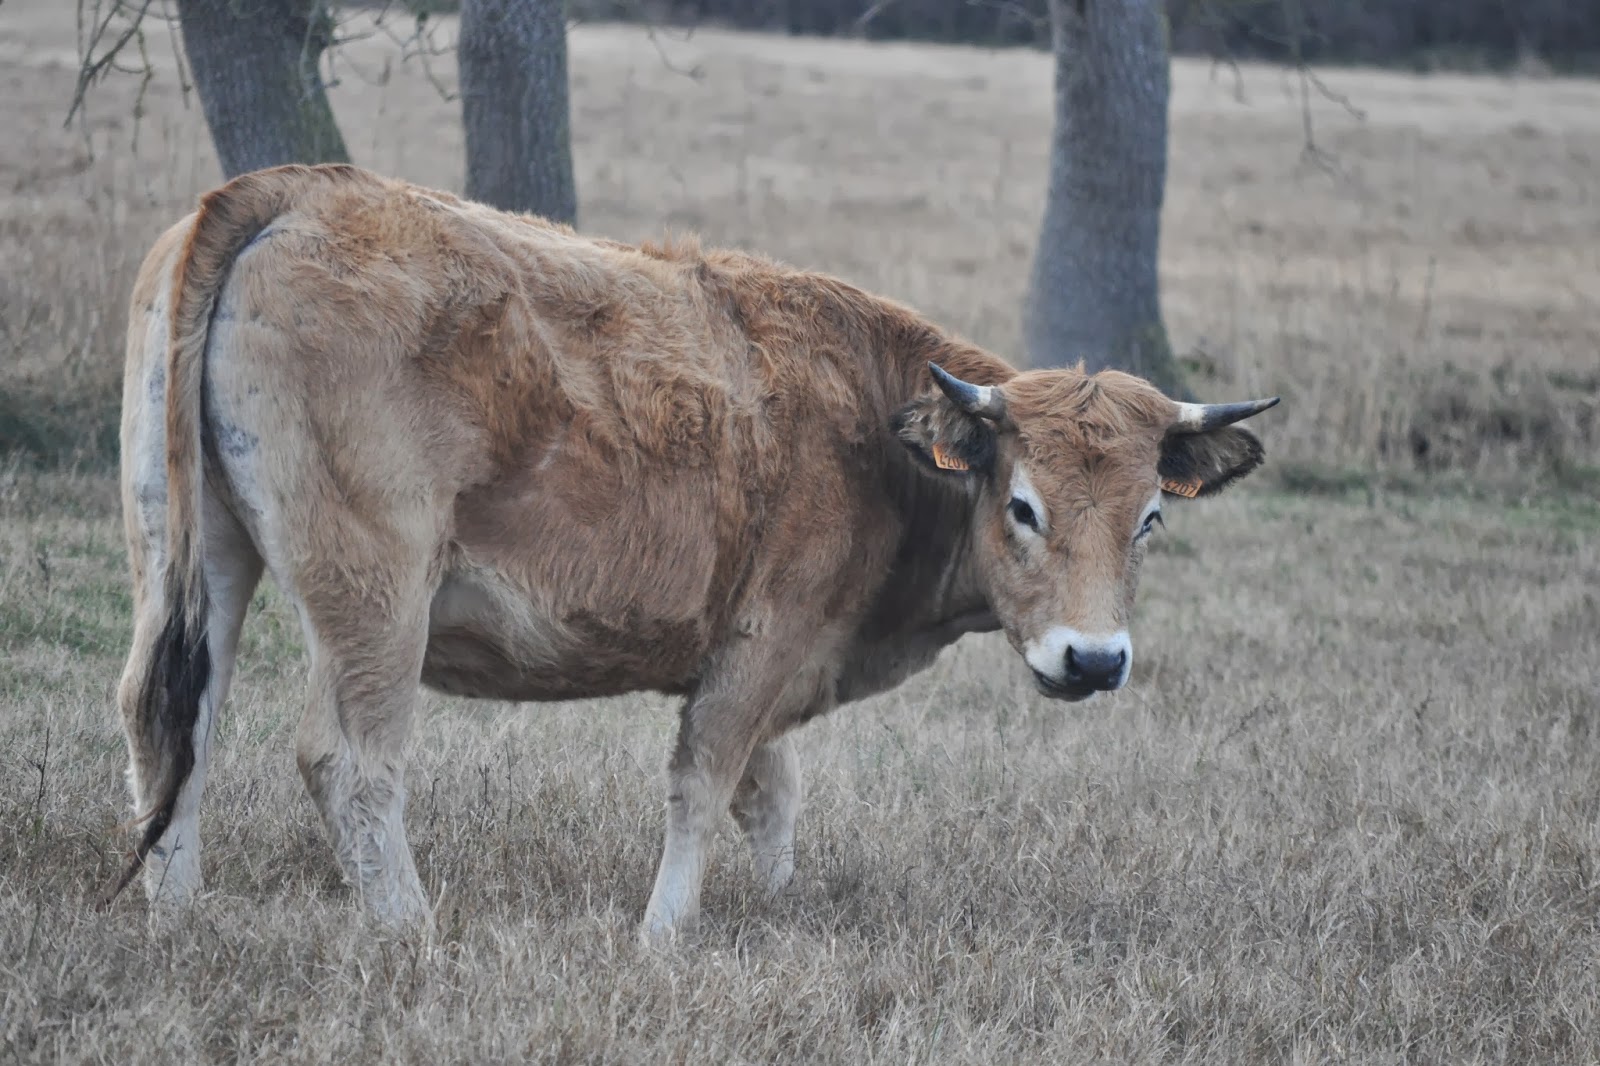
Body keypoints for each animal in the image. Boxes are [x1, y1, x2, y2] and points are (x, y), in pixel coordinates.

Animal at [108, 164, 1276, 942]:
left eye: (1150, 519)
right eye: (1024, 507)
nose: (1094, 659)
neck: (875, 422)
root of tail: (292, 192)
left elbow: (770, 793)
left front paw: (780, 903)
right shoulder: (758, 645)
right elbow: (707, 780)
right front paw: (664, 936)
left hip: (195, 560)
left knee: (174, 720)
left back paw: (176, 913)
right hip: (377, 601)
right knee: (349, 760)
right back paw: (410, 931)